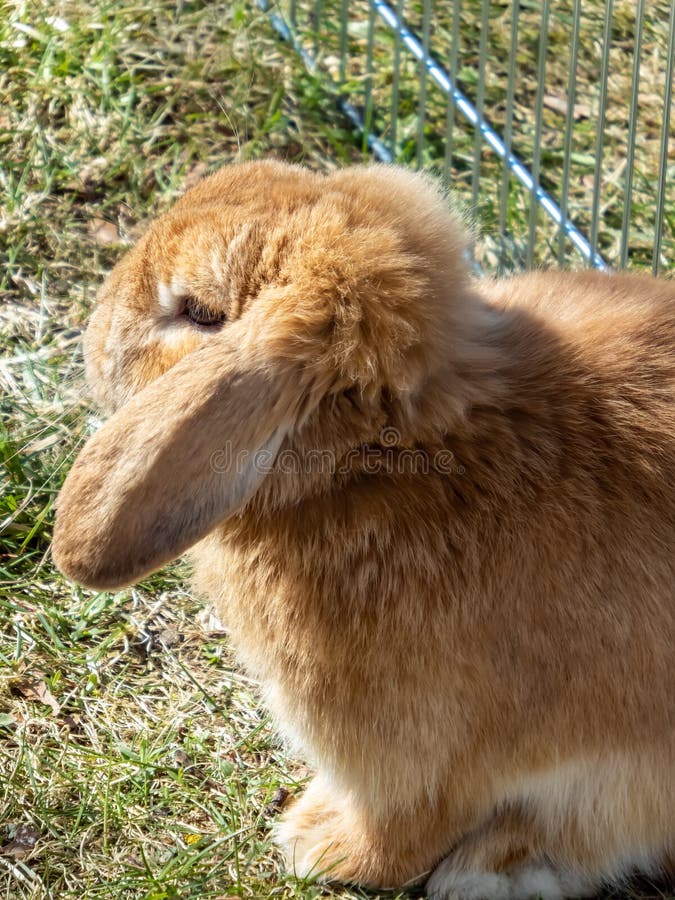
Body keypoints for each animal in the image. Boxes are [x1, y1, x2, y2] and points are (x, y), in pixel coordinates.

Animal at [52, 159, 674, 899]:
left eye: (200, 313)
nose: (91, 338)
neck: (380, 459)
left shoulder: (419, 759)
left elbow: (401, 836)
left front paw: (316, 847)